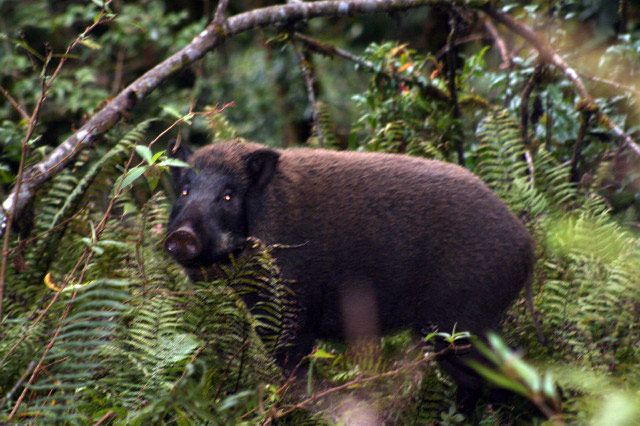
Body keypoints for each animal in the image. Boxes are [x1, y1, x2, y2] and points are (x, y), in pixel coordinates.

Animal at [165, 139, 540, 408]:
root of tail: (527, 247)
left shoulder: (293, 308)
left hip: (465, 324)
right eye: (184, 191)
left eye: (228, 195)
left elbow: (296, 369)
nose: (181, 236)